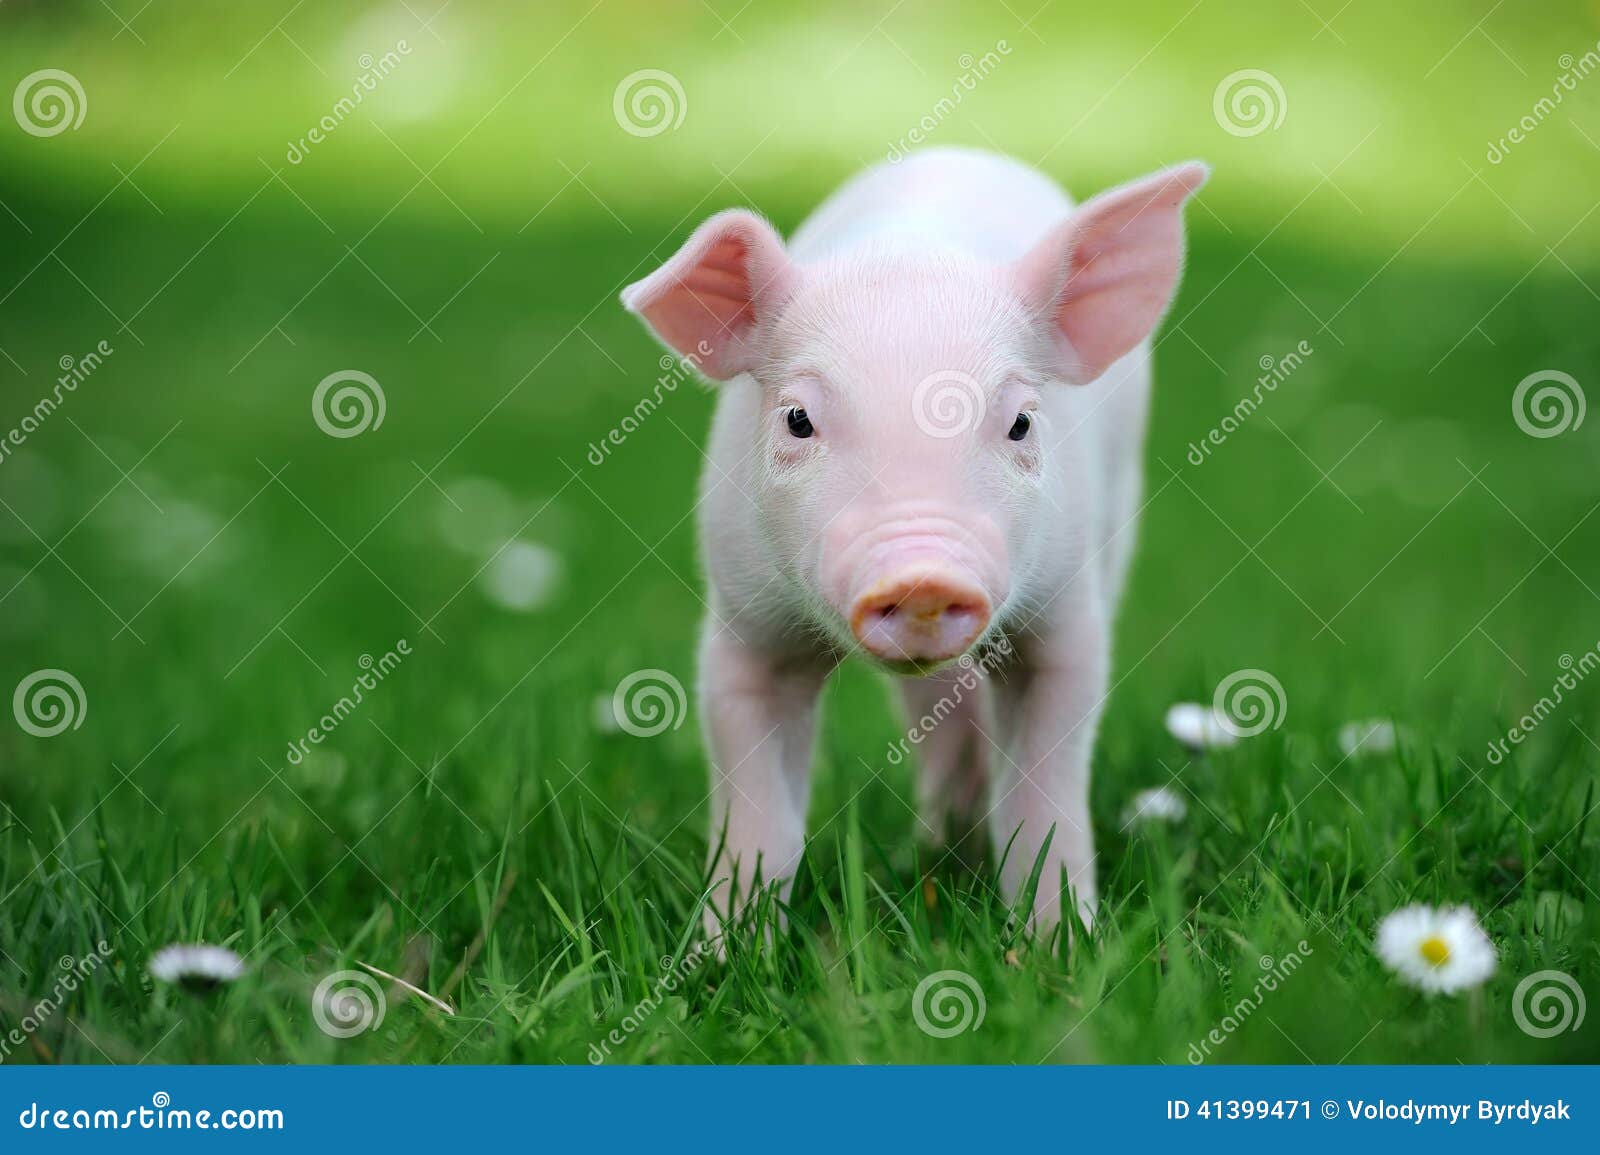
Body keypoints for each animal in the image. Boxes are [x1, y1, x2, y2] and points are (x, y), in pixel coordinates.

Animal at [621, 147, 1208, 944]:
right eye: (797, 419)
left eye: (1021, 423)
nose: (924, 575)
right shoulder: (744, 621)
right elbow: (756, 806)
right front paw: (725, 953)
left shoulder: (1066, 611)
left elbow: (1048, 785)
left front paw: (1059, 945)